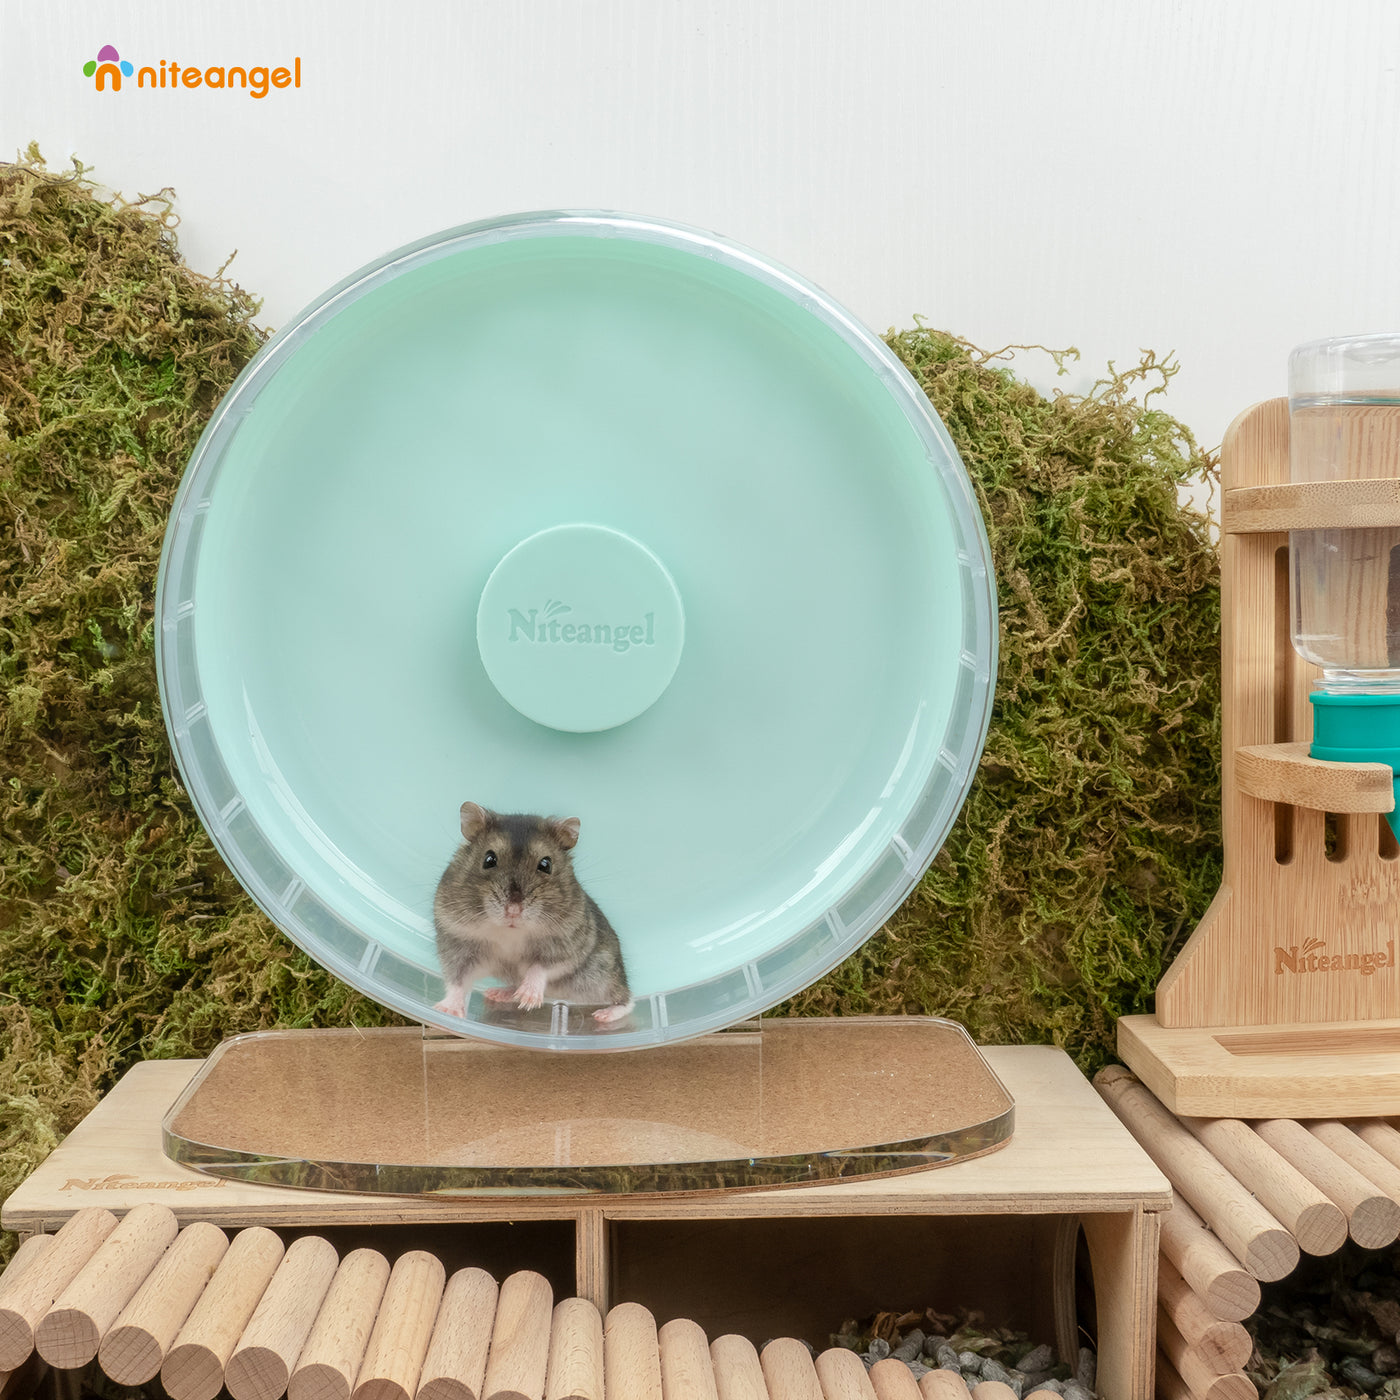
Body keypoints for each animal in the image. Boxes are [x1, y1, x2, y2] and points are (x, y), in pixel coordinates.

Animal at [432, 802, 633, 1025]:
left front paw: (529, 1000)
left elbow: (540, 968)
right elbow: (457, 981)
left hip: (600, 976)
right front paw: (445, 1010)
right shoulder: (457, 943)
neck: (510, 932)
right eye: (489, 859)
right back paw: (498, 993)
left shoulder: (566, 947)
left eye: (546, 864)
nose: (513, 910)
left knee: (626, 999)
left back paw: (603, 1015)